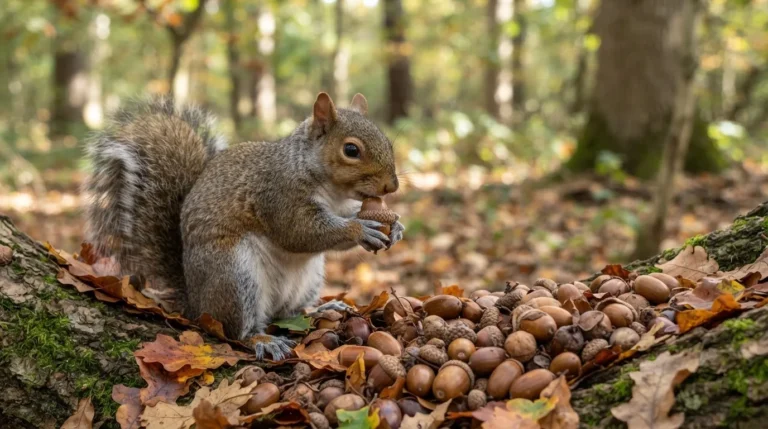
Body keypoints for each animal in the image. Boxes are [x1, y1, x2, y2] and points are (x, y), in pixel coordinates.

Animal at [83, 92, 403, 359]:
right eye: (351, 150)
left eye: (388, 142)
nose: (392, 186)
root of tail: (195, 304)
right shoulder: (278, 195)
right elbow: (300, 232)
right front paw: (361, 228)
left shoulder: (338, 205)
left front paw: (395, 225)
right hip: (233, 274)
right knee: (235, 330)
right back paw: (261, 340)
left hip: (308, 279)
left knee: (286, 313)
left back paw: (323, 308)